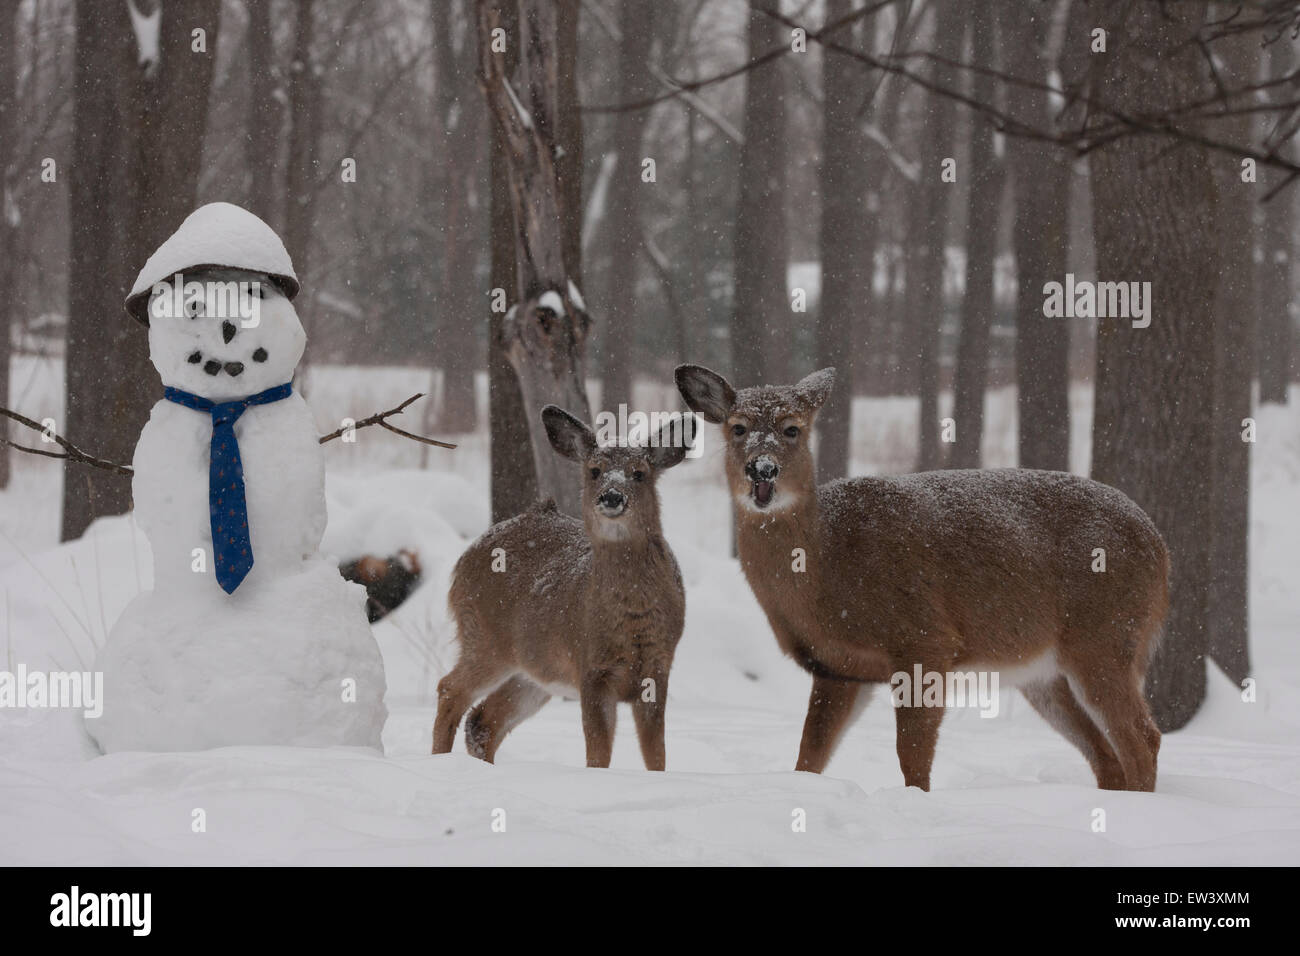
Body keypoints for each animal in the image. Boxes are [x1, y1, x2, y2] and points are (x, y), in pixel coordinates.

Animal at [432, 405, 690, 769]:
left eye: (639, 473)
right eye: (594, 471)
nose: (612, 496)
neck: (632, 620)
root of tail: (463, 560)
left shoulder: (659, 666)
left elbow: (656, 754)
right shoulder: (590, 666)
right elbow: (598, 753)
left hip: (532, 671)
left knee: (482, 720)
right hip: (483, 637)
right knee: (449, 689)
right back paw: (439, 761)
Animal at [676, 364, 1168, 792]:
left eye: (792, 428)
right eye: (738, 427)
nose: (762, 469)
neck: (828, 565)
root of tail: (1159, 546)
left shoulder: (923, 638)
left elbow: (912, 754)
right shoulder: (839, 667)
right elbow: (809, 755)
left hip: (1106, 636)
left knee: (1143, 738)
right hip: (1045, 672)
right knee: (1107, 755)